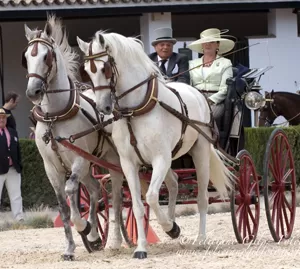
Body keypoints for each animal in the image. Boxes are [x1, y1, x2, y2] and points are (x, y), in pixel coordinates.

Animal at [22, 15, 126, 258]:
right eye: (26, 57)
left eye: (46, 56)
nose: (33, 92)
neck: (55, 117)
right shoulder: (51, 167)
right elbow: (63, 206)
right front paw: (71, 247)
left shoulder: (79, 159)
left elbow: (71, 191)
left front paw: (84, 226)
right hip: (90, 165)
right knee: (95, 190)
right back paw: (96, 237)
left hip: (111, 159)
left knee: (117, 196)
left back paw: (114, 237)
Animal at [77, 30, 234, 258]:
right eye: (88, 71)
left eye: (105, 67)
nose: (102, 107)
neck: (135, 111)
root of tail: (198, 94)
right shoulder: (128, 163)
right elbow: (138, 205)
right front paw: (142, 247)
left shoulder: (161, 158)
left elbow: (151, 197)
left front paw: (170, 227)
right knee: (174, 183)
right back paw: (172, 223)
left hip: (200, 151)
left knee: (202, 197)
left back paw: (200, 239)